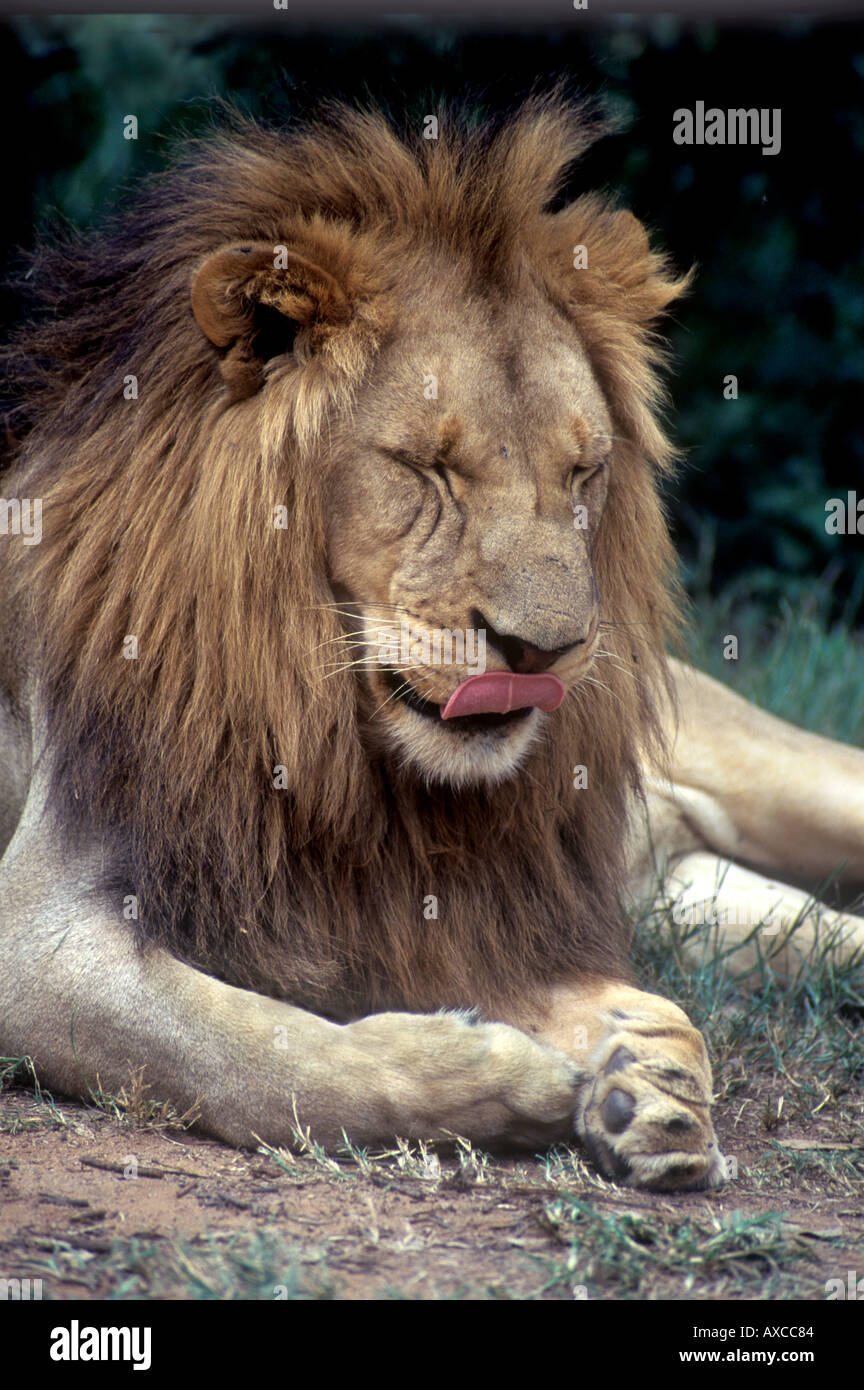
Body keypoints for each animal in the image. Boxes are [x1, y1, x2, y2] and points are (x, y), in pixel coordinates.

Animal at [1, 96, 862, 1192]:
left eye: (583, 472)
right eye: (428, 469)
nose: (546, 650)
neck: (321, 726)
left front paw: (636, 1071)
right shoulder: (40, 932)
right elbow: (262, 1052)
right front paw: (542, 1076)